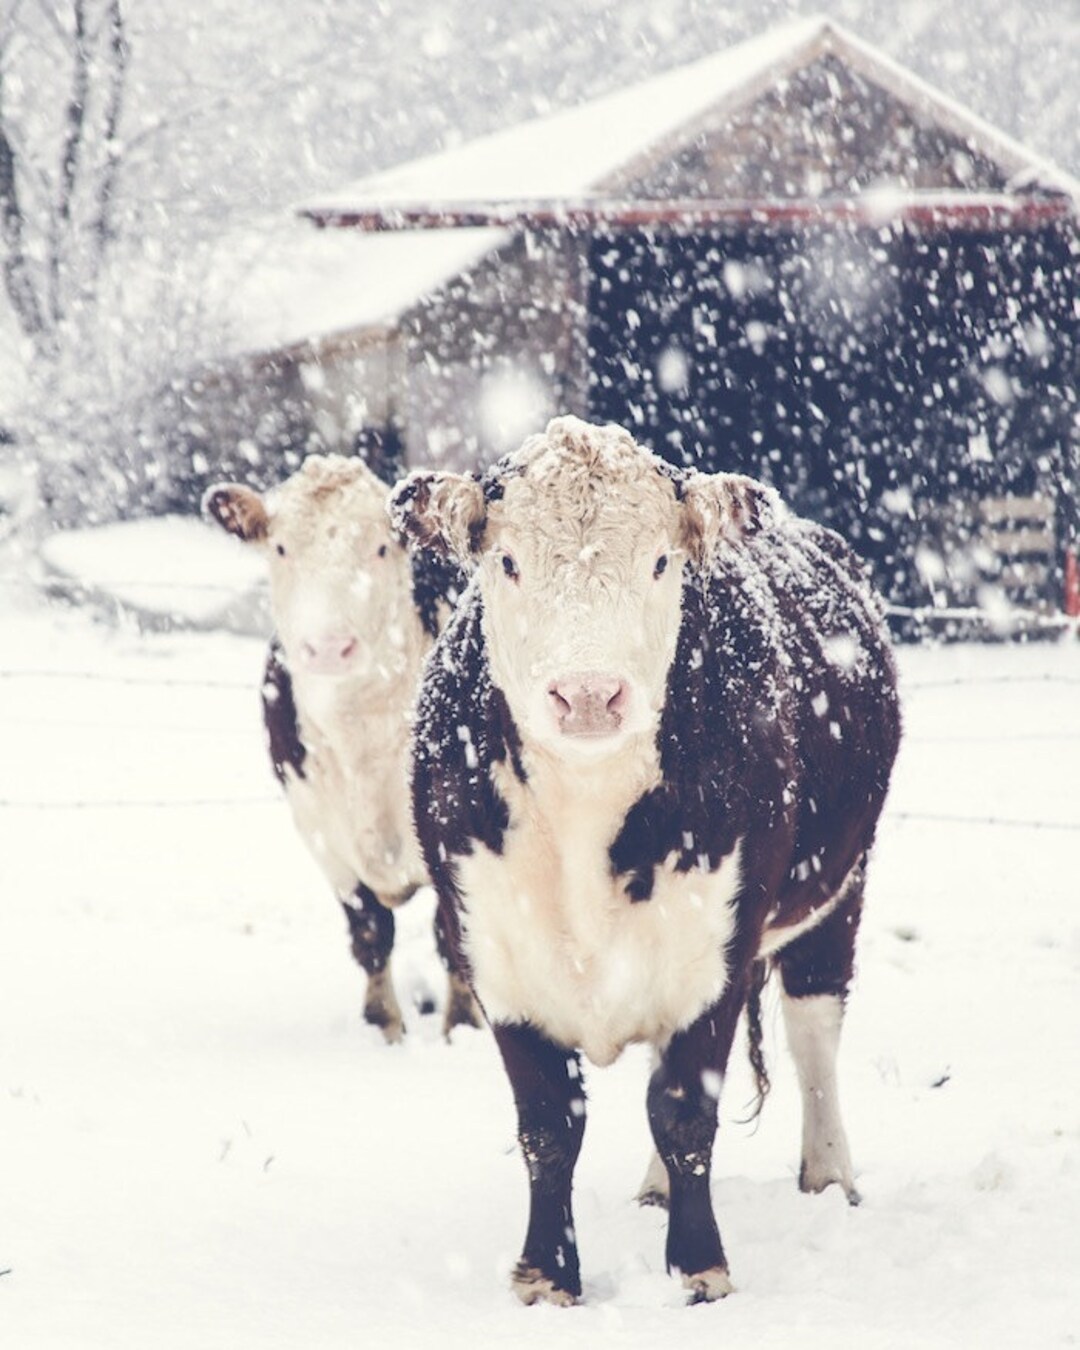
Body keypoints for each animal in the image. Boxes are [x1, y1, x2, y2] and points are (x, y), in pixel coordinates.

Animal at [203, 453, 480, 1042]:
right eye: (281, 548)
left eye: (380, 548)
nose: (330, 647)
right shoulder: (321, 831)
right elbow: (371, 932)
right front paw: (385, 1028)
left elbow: (455, 938)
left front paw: (460, 1027)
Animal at [390, 415, 901, 1305]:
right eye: (506, 559)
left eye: (661, 561)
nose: (590, 695)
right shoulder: (493, 949)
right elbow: (549, 1121)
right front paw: (546, 1274)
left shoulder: (718, 945)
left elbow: (686, 1109)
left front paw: (698, 1267)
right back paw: (656, 1189)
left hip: (841, 889)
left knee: (814, 1032)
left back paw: (830, 1175)